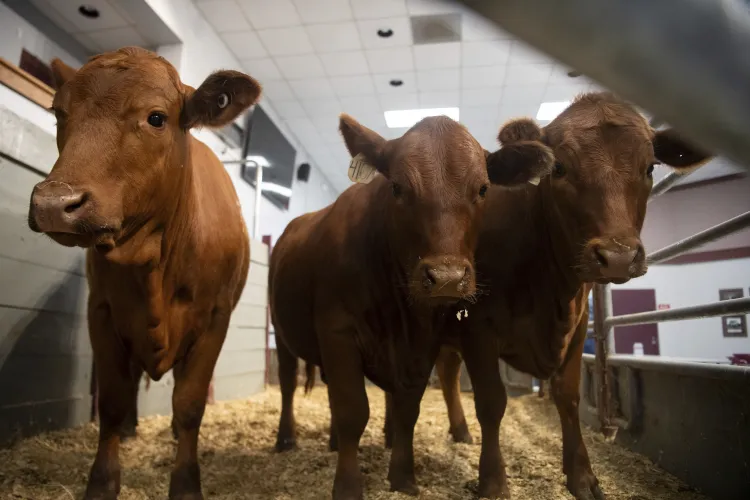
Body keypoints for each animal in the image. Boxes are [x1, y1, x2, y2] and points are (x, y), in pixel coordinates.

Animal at [27, 47, 261, 500]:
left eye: (156, 117)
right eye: (59, 113)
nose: (53, 204)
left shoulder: (215, 319)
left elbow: (189, 405)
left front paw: (186, 483)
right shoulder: (101, 310)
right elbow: (113, 401)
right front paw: (102, 483)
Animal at [269, 114, 554, 500]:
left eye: (483, 189)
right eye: (397, 188)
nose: (447, 277)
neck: (397, 311)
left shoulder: (422, 343)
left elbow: (407, 408)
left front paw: (403, 477)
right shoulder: (337, 331)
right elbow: (352, 410)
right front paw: (347, 485)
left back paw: (334, 441)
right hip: (281, 332)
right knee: (287, 383)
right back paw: (286, 439)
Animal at [383, 92, 711, 499]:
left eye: (650, 167)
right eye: (560, 168)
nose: (617, 255)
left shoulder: (579, 326)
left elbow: (568, 396)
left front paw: (582, 476)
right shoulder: (478, 329)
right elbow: (491, 401)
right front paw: (492, 480)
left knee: (445, 373)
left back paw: (457, 431)